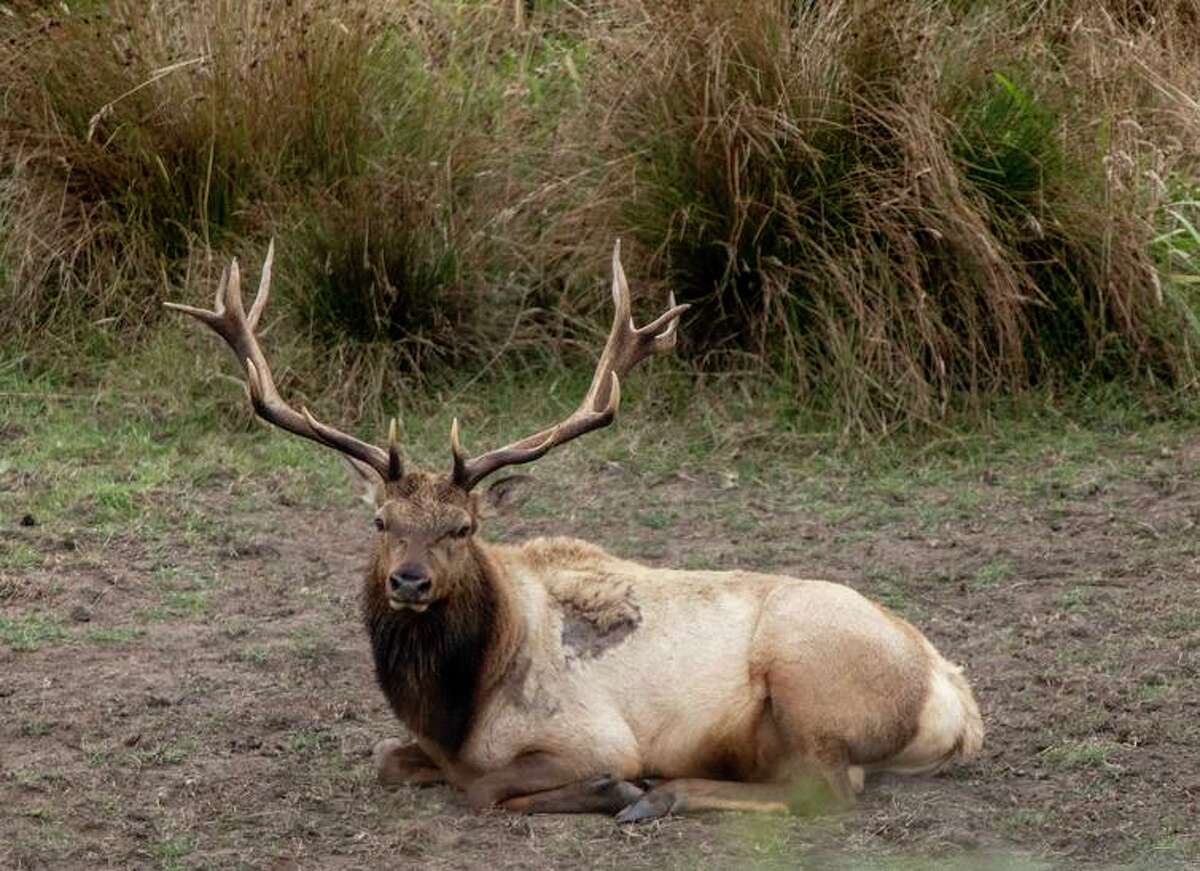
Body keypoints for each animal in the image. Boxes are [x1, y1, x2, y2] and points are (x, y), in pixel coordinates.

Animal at [166, 240, 983, 821]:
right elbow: (384, 757)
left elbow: (485, 787)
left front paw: (615, 789)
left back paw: (663, 793)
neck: (456, 704)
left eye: (463, 526)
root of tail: (956, 700)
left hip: (808, 671)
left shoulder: (593, 735)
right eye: (381, 520)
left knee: (827, 789)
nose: (409, 580)